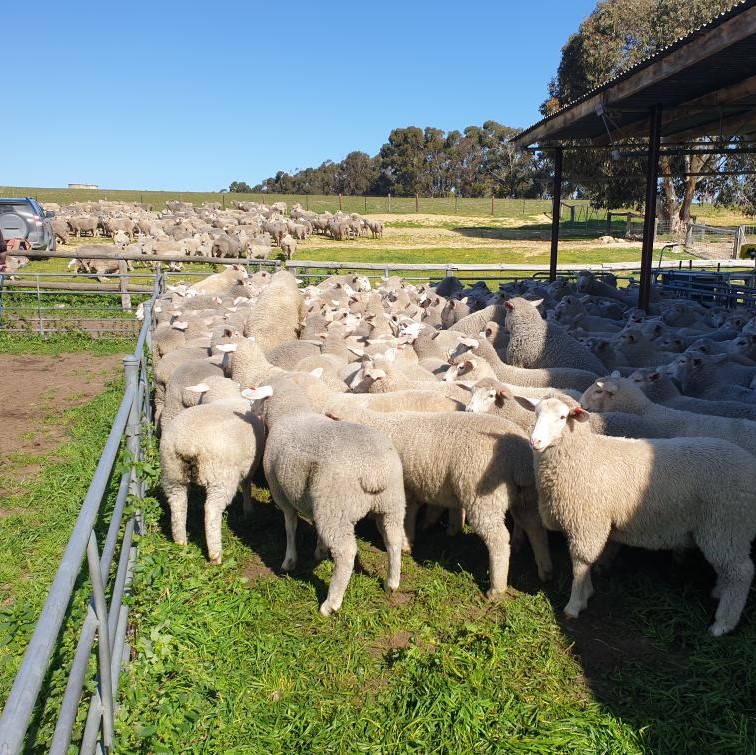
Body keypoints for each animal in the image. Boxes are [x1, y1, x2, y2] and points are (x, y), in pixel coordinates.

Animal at [160, 397, 265, 564]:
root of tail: (187, 444)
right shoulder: (249, 466)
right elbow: (246, 486)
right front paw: (248, 511)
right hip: (220, 479)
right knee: (211, 511)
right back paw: (216, 555)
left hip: (172, 473)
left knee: (178, 505)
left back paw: (180, 543)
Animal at [242, 379, 406, 616]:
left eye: (259, 395)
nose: (251, 409)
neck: (289, 412)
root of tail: (374, 470)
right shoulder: (311, 499)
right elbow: (314, 526)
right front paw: (319, 550)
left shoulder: (281, 492)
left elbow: (290, 525)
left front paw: (289, 560)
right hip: (391, 503)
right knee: (393, 540)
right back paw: (391, 583)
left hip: (335, 507)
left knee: (346, 553)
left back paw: (330, 604)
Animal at [520, 396, 756, 636]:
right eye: (536, 413)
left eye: (562, 417)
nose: (534, 441)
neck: (585, 455)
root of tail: (750, 463)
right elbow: (584, 566)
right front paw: (587, 593)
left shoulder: (587, 524)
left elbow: (580, 565)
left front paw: (575, 605)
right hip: (728, 529)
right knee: (730, 569)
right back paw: (719, 593)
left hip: (727, 524)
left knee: (741, 572)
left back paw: (723, 624)